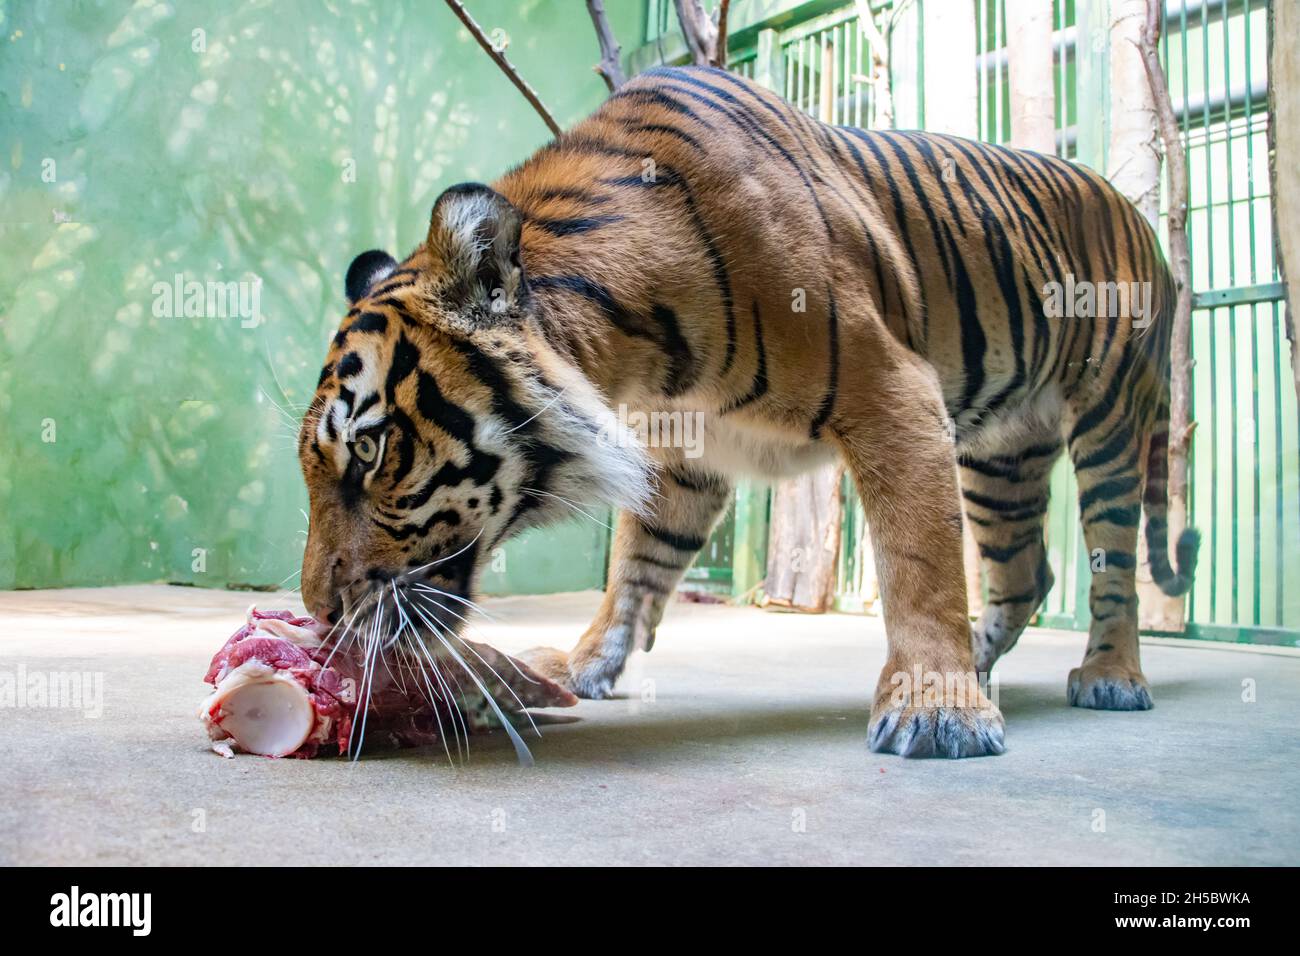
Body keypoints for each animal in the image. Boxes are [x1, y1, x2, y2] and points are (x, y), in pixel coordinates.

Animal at [298, 64, 1198, 759]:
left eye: (371, 453)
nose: (319, 615)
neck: (635, 354)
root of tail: (1141, 216)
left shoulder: (896, 391)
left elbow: (919, 561)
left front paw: (936, 710)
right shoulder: (682, 453)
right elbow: (636, 569)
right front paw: (583, 666)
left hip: (1110, 423)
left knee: (1112, 564)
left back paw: (1109, 677)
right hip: (1001, 454)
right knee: (1027, 570)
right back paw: (980, 660)